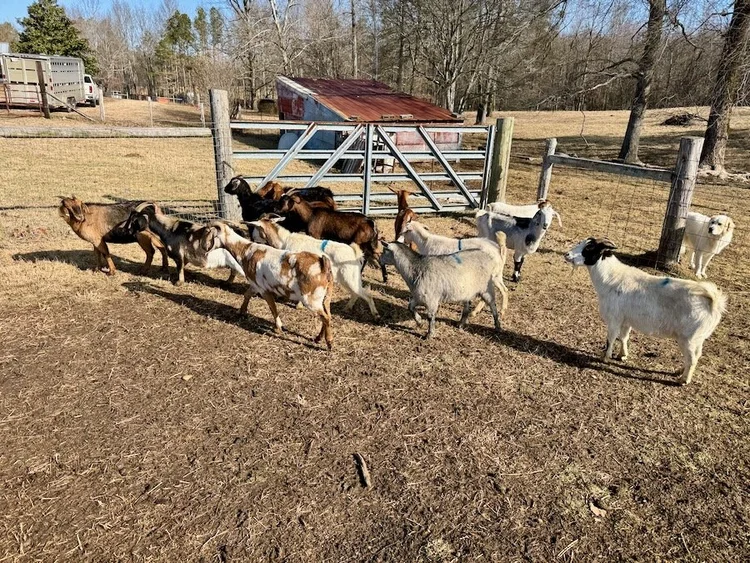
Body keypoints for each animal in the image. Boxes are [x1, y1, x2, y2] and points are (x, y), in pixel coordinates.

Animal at [200, 221, 335, 349]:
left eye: (208, 233)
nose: (203, 247)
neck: (246, 251)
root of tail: (322, 263)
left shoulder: (263, 289)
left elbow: (272, 307)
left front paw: (278, 328)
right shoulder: (255, 284)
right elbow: (247, 295)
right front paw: (241, 311)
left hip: (311, 298)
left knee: (325, 317)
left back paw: (329, 343)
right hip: (325, 297)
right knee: (327, 315)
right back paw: (318, 338)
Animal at [249, 216, 379, 318]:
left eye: (255, 227)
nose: (253, 238)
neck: (284, 241)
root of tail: (354, 252)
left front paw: (298, 305)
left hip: (349, 276)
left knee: (366, 294)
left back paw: (375, 314)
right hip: (347, 278)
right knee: (356, 293)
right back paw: (347, 308)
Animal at [564, 237, 726, 385]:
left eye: (589, 248)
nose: (567, 254)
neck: (611, 277)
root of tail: (713, 301)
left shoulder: (614, 319)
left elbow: (611, 338)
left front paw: (605, 357)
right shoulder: (626, 321)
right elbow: (623, 337)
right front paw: (622, 355)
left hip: (689, 338)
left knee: (692, 358)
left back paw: (683, 380)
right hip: (698, 338)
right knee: (696, 355)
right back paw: (679, 371)